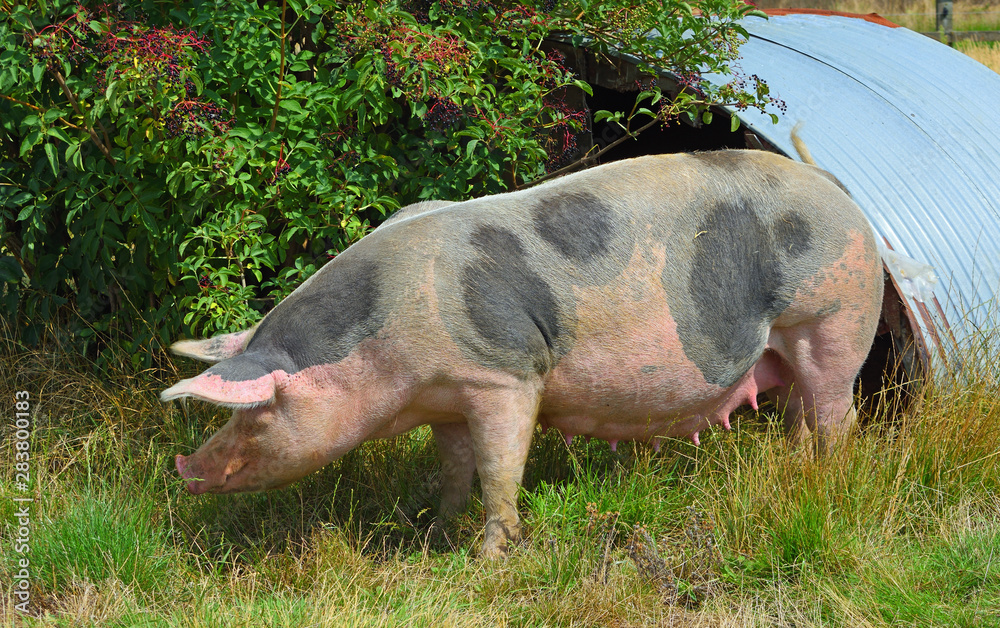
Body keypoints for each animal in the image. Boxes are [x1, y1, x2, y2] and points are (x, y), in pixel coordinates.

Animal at [162, 149, 883, 557]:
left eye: (256, 412)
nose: (184, 468)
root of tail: (835, 188)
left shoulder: (503, 376)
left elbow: (500, 470)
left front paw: (488, 558)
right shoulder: (446, 399)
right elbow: (456, 467)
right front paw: (433, 528)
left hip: (833, 316)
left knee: (839, 415)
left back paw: (830, 483)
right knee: (800, 415)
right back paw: (796, 471)